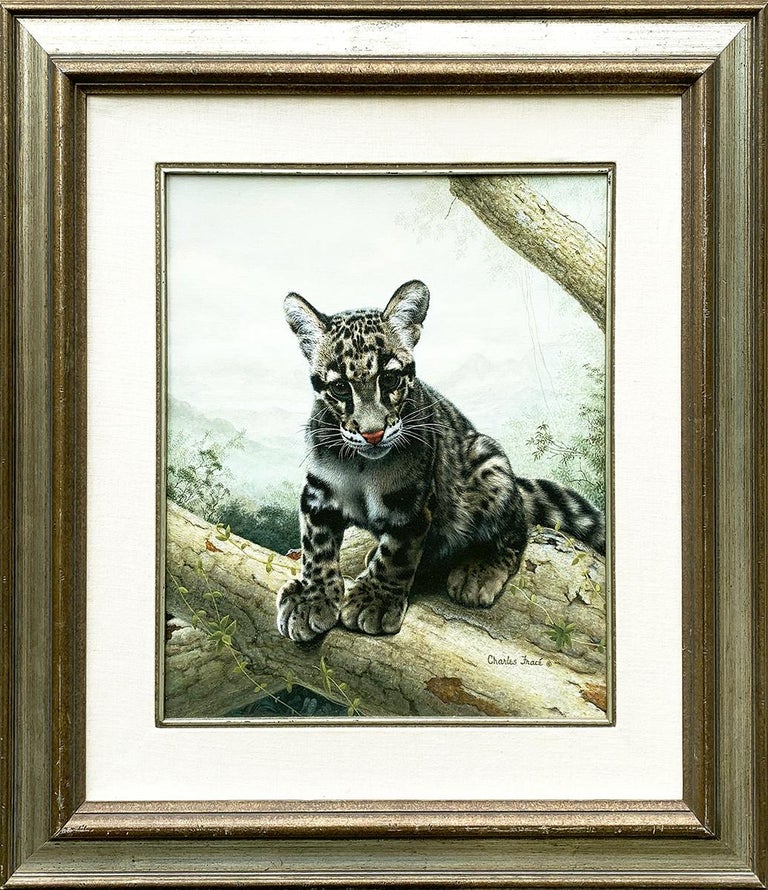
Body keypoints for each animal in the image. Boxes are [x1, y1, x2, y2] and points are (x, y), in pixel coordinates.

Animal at [276, 279, 605, 642]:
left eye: (389, 379)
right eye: (339, 388)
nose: (373, 433)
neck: (361, 466)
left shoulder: (411, 502)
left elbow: (396, 553)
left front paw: (374, 602)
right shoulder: (317, 494)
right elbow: (316, 546)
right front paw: (311, 598)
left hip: (488, 463)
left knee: (516, 526)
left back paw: (478, 571)